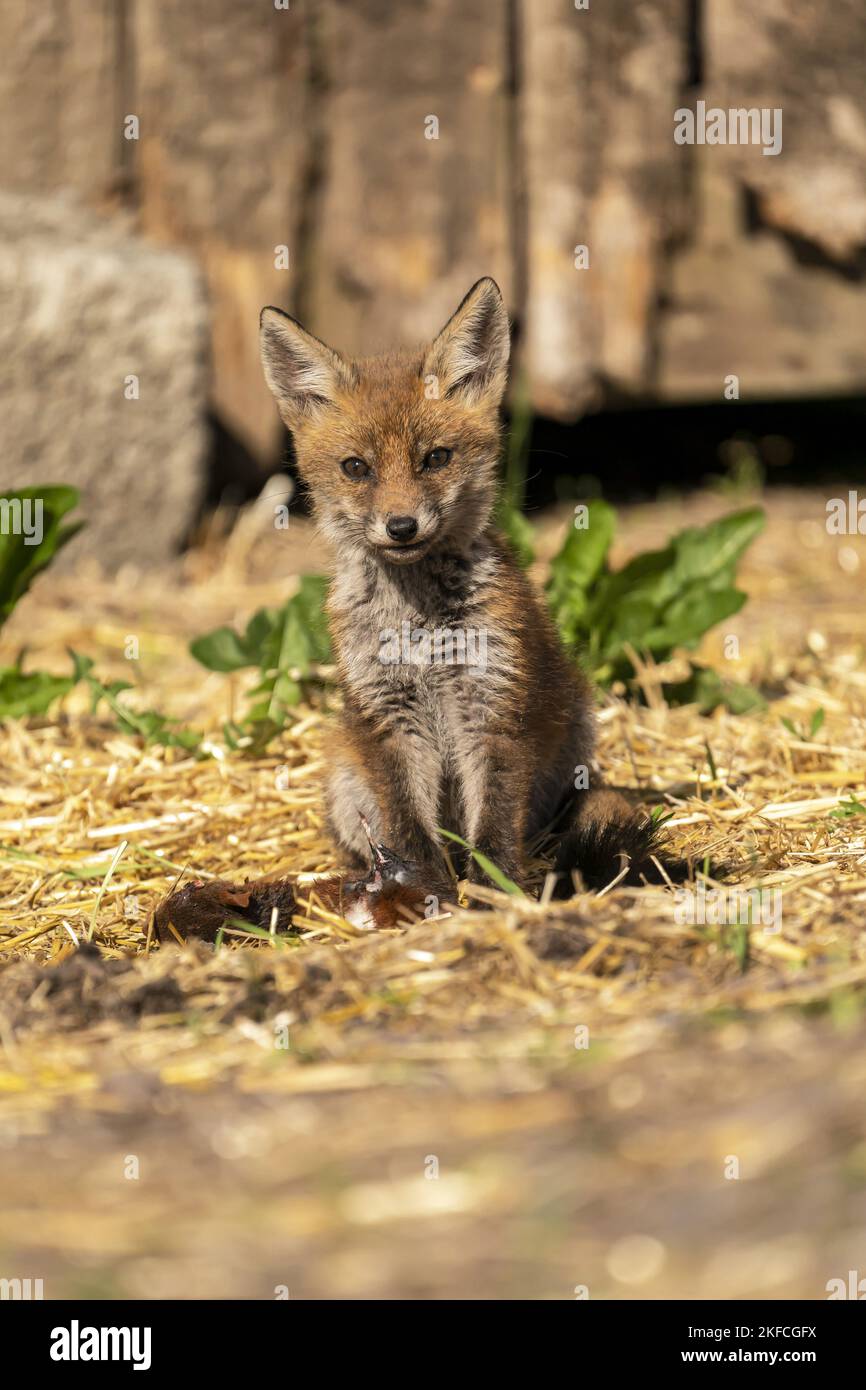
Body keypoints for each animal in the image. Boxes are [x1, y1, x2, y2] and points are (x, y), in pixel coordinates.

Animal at [259, 277, 673, 898]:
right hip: (346, 782)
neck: (420, 628)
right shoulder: (388, 716)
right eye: (356, 468)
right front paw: (425, 893)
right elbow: (409, 826)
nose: (401, 526)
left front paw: (489, 895)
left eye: (435, 458)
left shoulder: (493, 707)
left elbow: (494, 827)